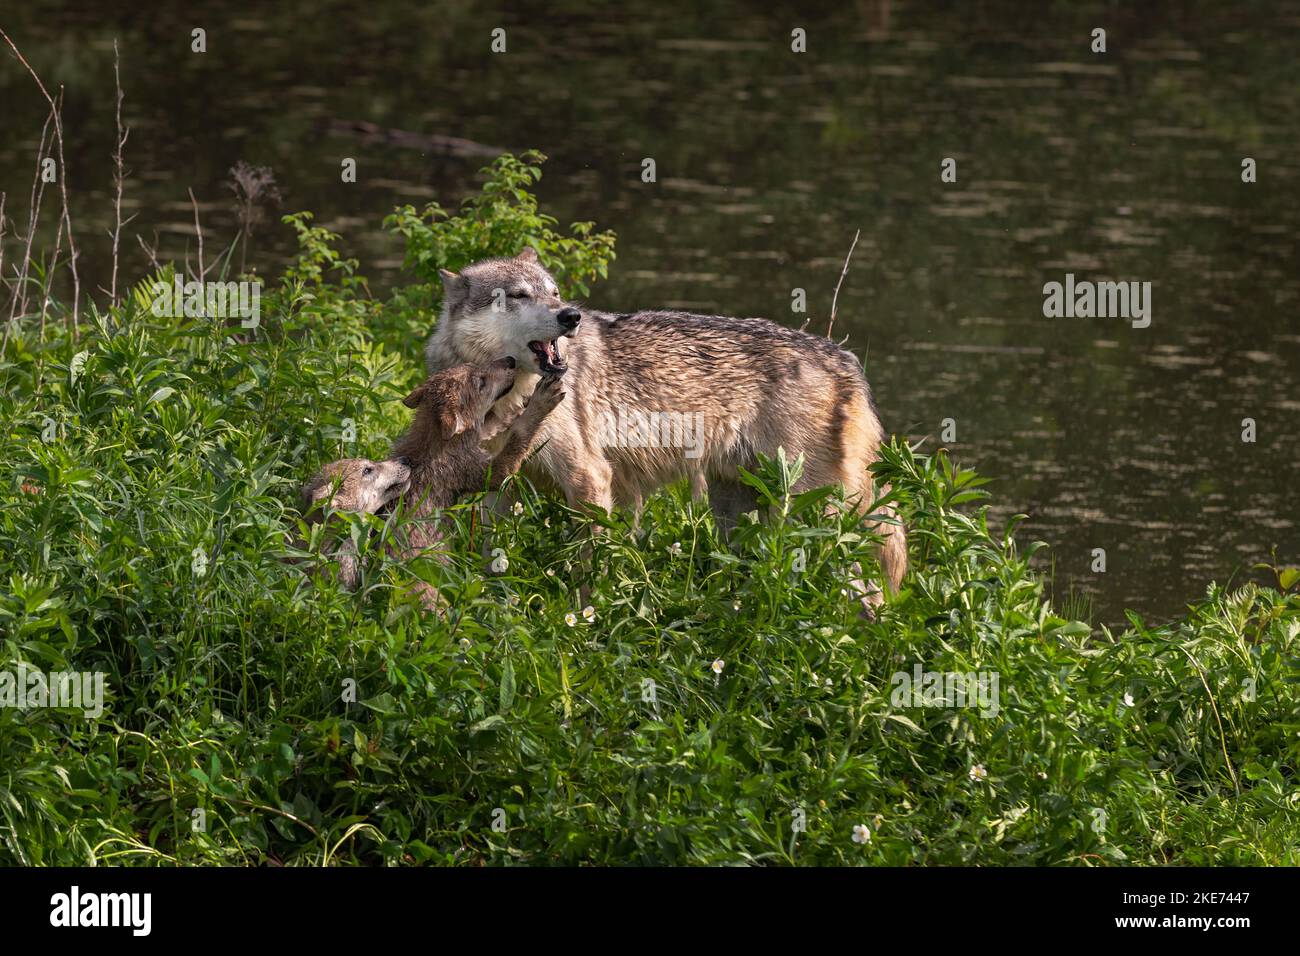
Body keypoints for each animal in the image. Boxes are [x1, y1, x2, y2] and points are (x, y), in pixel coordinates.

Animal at [423, 248, 906, 602]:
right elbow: (494, 560)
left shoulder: (590, 478)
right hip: (738, 512)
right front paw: (494, 608)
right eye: (519, 296)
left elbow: (589, 566)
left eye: (555, 292)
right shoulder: (497, 486)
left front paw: (582, 619)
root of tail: (846, 360)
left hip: (811, 513)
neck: (513, 397)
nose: (570, 316)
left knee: (864, 585)